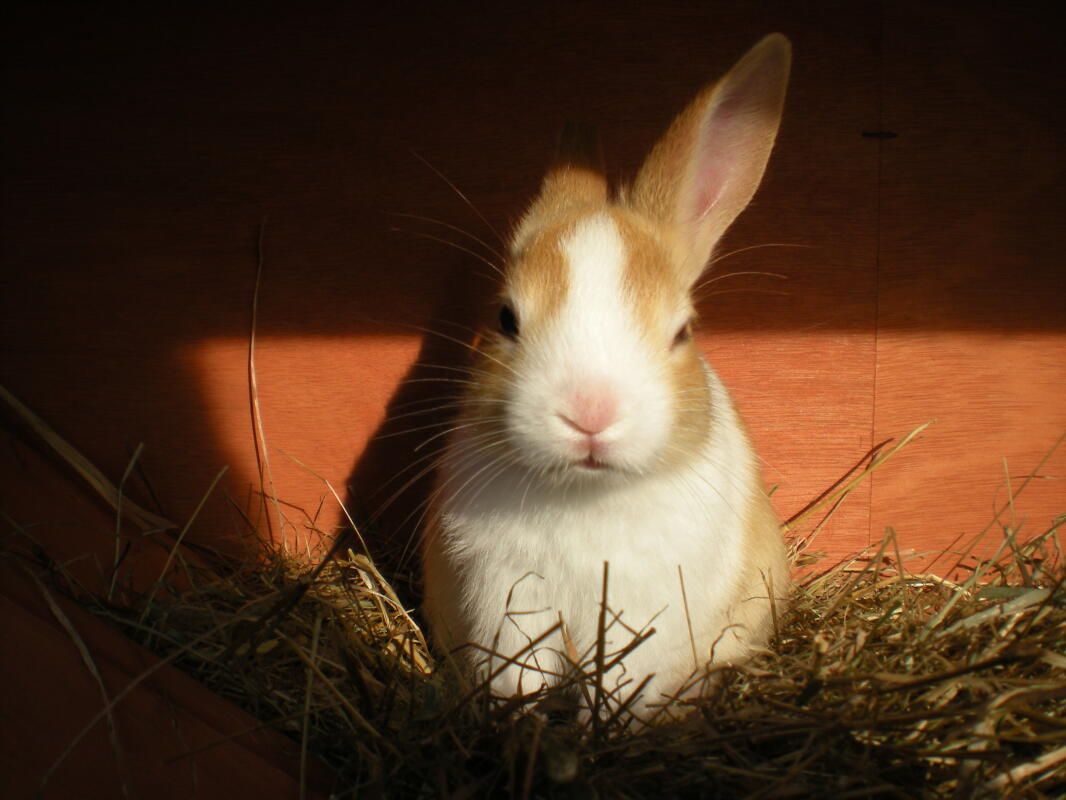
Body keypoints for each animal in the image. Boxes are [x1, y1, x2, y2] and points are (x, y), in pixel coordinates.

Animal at [420, 33, 792, 723]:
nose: (589, 412)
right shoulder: (511, 601)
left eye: (683, 331)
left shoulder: (642, 617)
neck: (584, 492)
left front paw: (606, 734)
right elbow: (522, 680)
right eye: (505, 318)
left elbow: (619, 688)